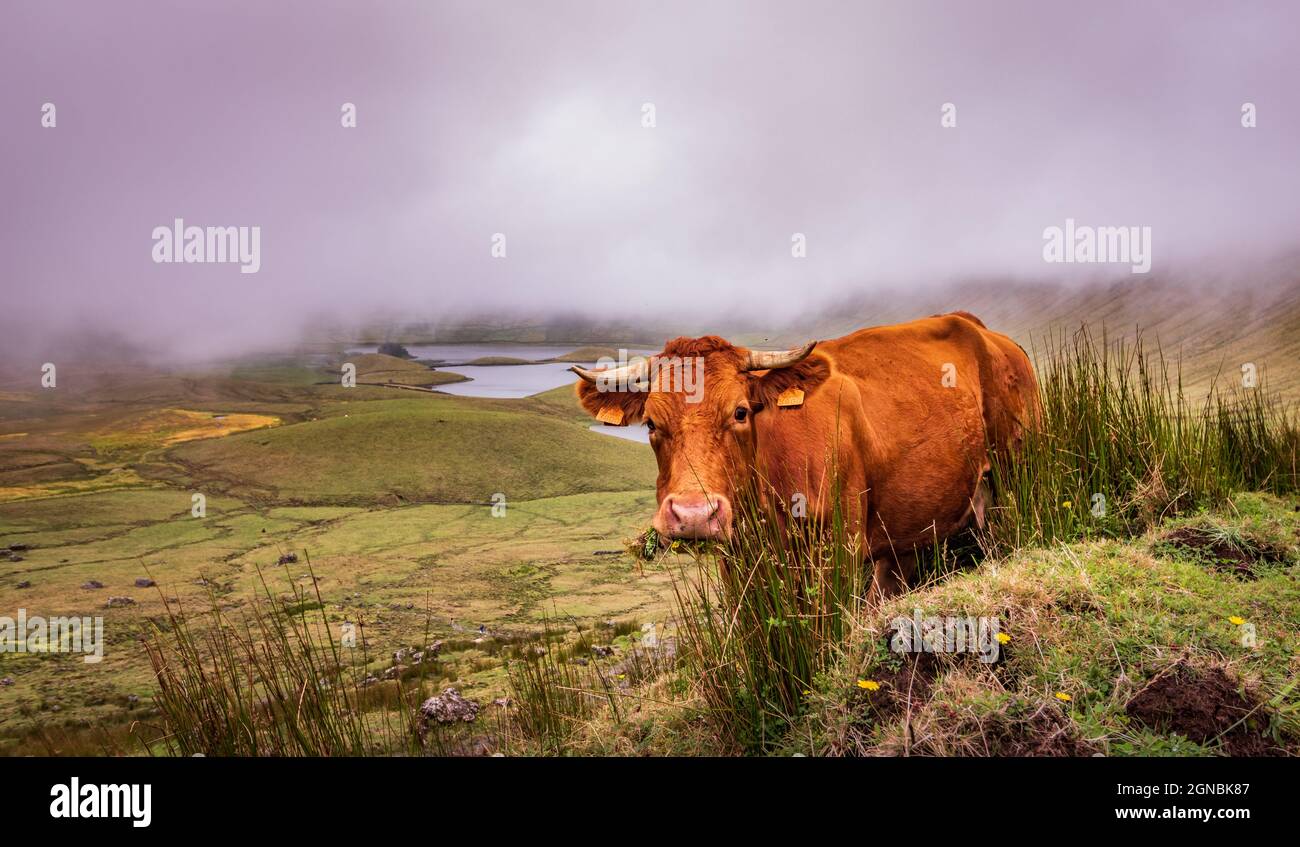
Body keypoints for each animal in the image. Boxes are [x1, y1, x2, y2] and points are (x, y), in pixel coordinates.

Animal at [570, 312, 1039, 600]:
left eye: (740, 412)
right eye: (650, 423)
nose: (694, 515)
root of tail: (982, 330)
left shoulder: (841, 548)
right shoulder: (737, 567)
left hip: (1015, 471)